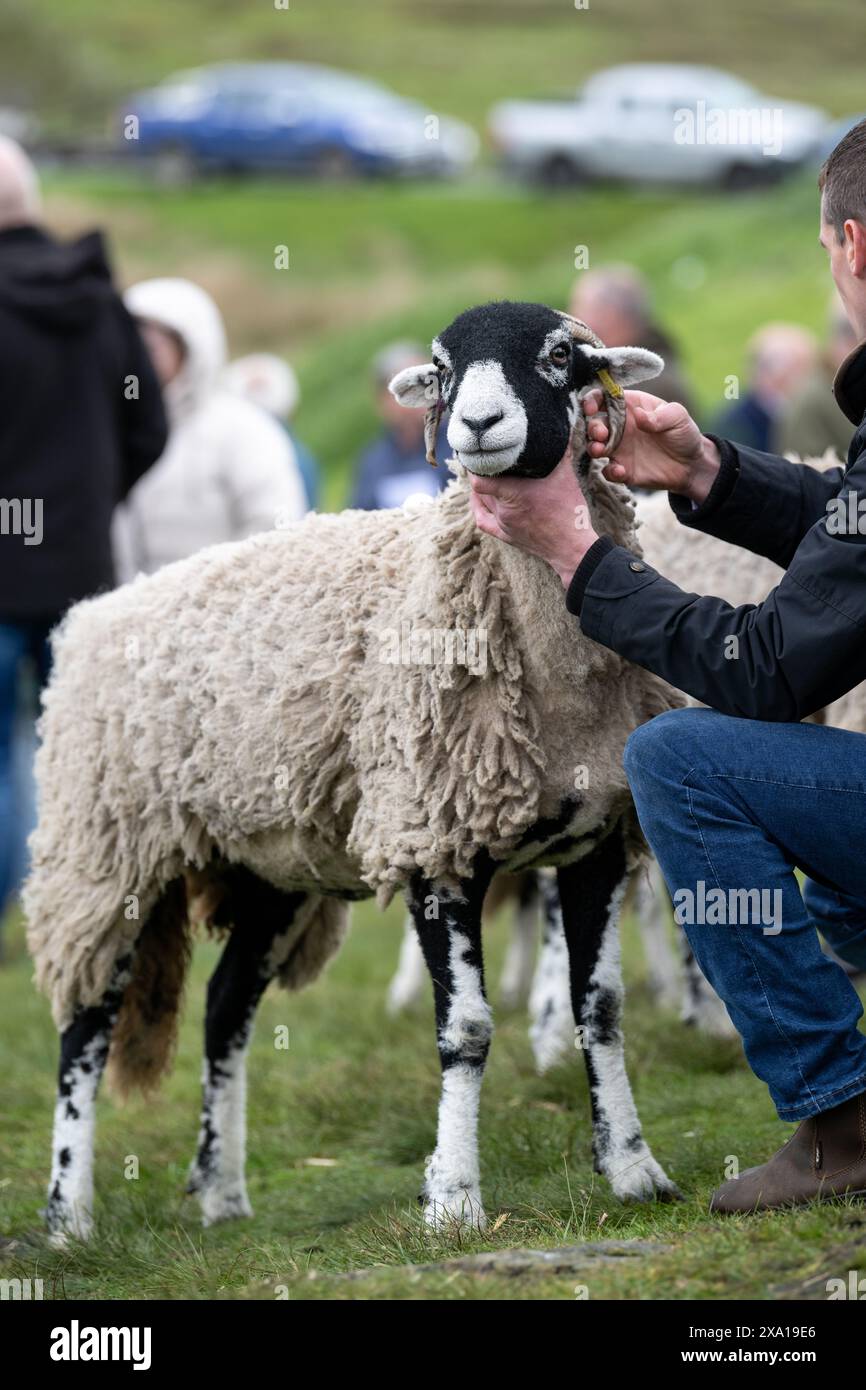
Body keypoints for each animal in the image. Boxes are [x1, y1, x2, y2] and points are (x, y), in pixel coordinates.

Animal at [24, 300, 683, 1243]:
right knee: (83, 1028)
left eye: (562, 354)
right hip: (104, 852)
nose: (478, 425)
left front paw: (633, 1171)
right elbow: (468, 1031)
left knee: (225, 1005)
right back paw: (69, 1213)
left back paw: (222, 1194)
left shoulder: (596, 841)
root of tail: (91, 615)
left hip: (264, 865)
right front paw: (453, 1199)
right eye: (441, 367)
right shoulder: (434, 839)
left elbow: (602, 1011)